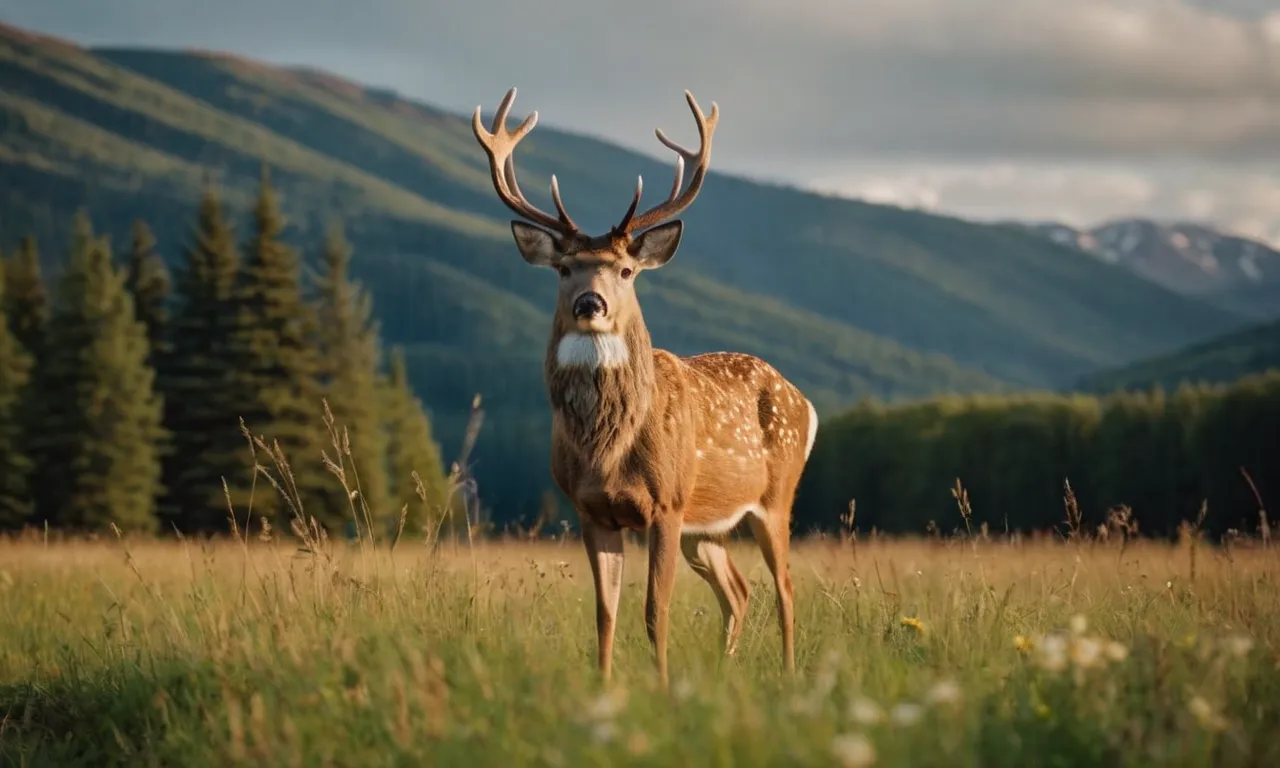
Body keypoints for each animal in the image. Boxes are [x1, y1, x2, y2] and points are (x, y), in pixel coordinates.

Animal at [471, 87, 819, 686]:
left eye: (627, 271)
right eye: (564, 268)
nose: (591, 304)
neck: (608, 448)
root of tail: (806, 403)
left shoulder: (666, 504)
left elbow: (656, 610)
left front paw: (660, 686)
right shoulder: (590, 509)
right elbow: (605, 613)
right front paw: (605, 686)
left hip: (774, 496)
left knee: (786, 590)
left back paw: (791, 674)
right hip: (708, 527)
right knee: (739, 591)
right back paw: (724, 669)